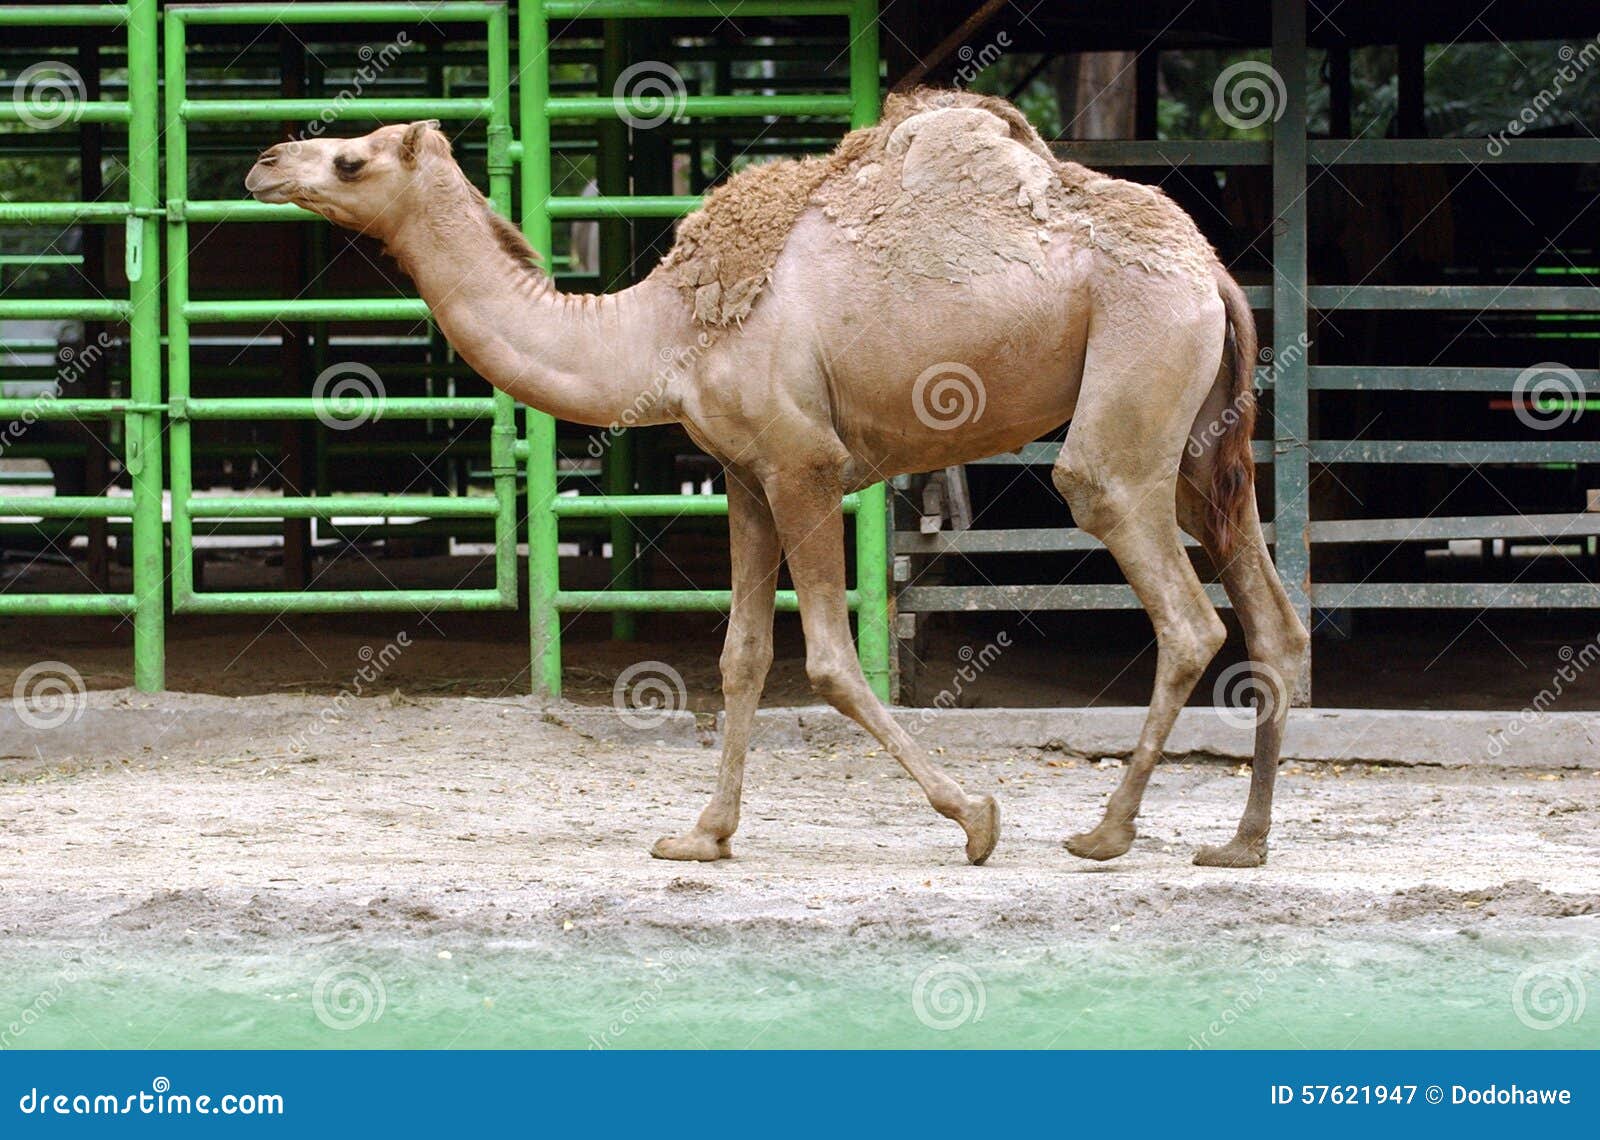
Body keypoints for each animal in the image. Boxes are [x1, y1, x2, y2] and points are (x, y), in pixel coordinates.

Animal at [245, 89, 1308, 869]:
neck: (661, 333)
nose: (265, 162)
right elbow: (740, 657)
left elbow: (831, 661)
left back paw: (1106, 832)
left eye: (351, 160)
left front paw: (975, 817)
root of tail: (1212, 273)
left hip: (1131, 395)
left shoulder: (806, 464)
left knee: (1182, 607)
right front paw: (702, 835)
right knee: (1272, 616)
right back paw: (1242, 844)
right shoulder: (743, 476)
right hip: (1199, 444)